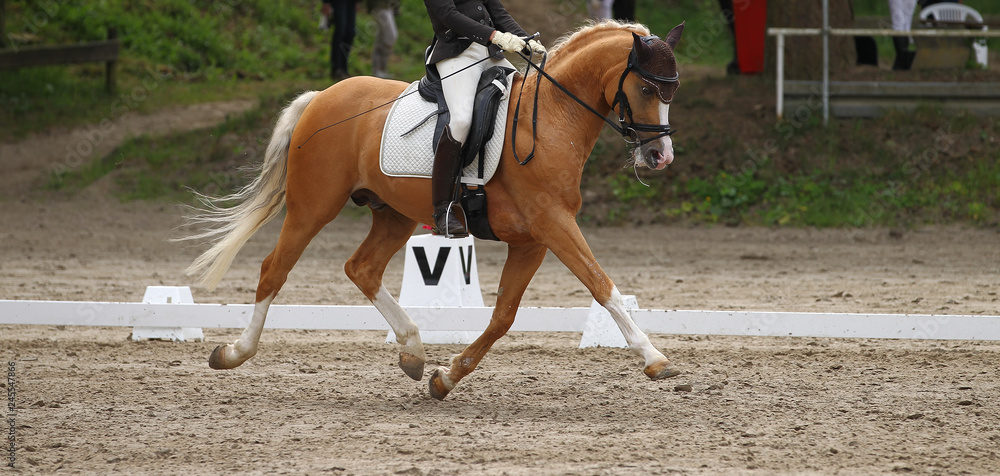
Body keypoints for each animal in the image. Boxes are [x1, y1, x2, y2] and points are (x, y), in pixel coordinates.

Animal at [180, 20, 685, 400]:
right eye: (645, 87)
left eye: (672, 91)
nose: (660, 157)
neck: (550, 120)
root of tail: (321, 96)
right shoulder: (554, 224)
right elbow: (603, 287)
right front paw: (655, 359)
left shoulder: (532, 241)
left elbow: (503, 317)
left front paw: (446, 377)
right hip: (313, 207)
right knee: (274, 269)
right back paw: (234, 353)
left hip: (394, 214)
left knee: (361, 268)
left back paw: (414, 351)